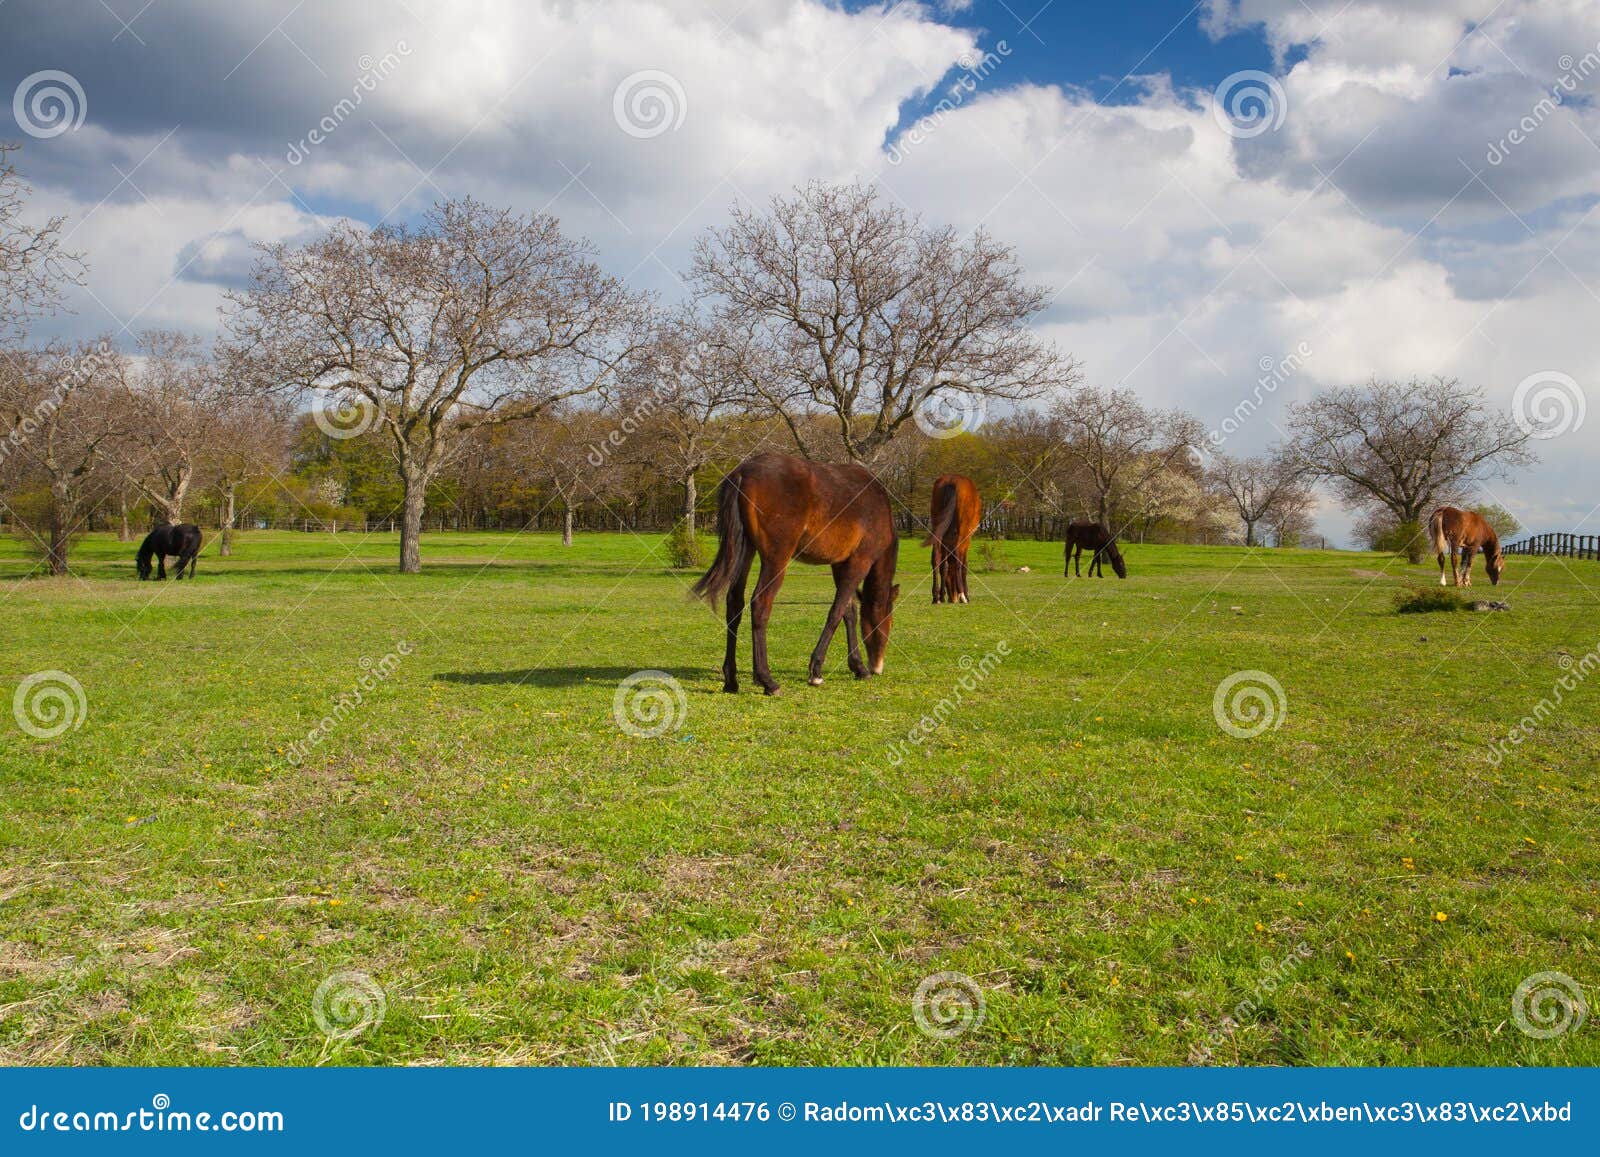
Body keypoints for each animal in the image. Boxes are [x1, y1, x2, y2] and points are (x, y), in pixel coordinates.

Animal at [692, 452, 900, 696]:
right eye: (887, 624)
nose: (877, 667)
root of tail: (743, 471)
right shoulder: (859, 562)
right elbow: (836, 612)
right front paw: (817, 670)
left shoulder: (840, 564)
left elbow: (849, 612)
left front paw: (858, 666)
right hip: (777, 558)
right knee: (760, 604)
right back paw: (768, 680)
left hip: (746, 550)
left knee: (735, 604)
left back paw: (731, 679)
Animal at [924, 474, 981, 604]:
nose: (952, 598)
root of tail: (952, 482)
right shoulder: (967, 538)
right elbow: (963, 564)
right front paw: (966, 594)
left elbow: (943, 565)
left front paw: (941, 596)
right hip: (961, 533)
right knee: (958, 560)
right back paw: (963, 596)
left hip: (938, 528)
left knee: (936, 559)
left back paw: (936, 597)